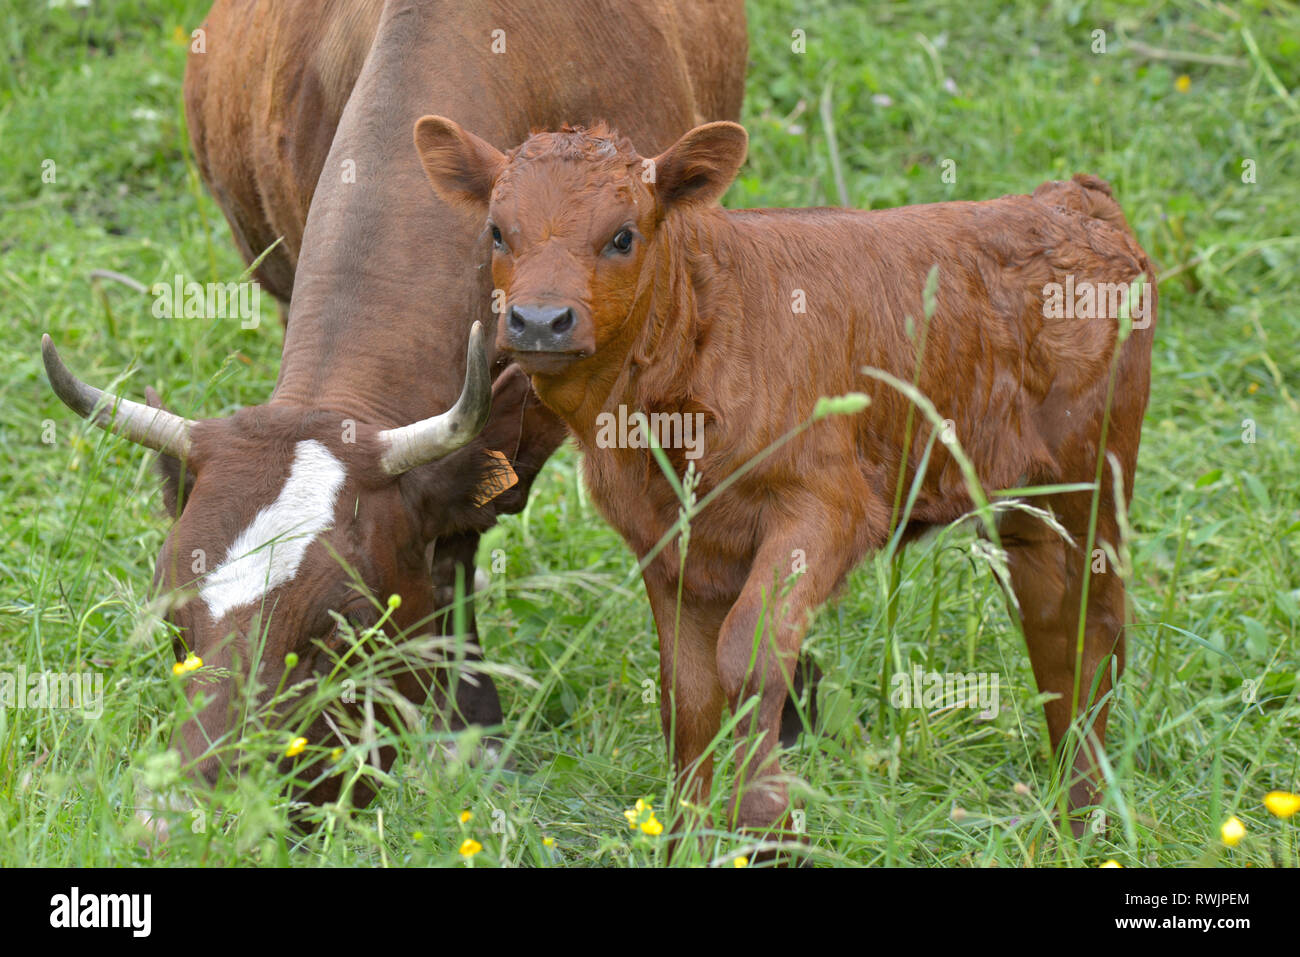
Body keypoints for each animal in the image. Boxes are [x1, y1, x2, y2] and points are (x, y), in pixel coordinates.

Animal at [412, 116, 1156, 841]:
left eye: (622, 236)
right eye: (498, 231)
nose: (539, 321)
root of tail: (1069, 200)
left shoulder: (827, 508)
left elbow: (750, 653)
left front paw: (765, 813)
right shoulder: (665, 538)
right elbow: (688, 693)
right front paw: (690, 837)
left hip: (1087, 485)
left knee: (1091, 631)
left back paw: (1083, 821)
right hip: (1027, 508)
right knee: (1054, 628)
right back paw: (1070, 817)